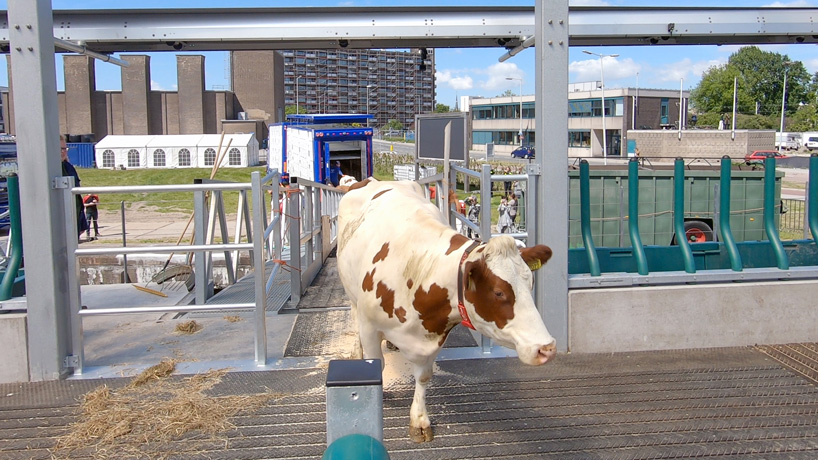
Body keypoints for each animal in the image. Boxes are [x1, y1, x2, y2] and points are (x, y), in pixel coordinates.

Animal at [337, 179, 557, 443]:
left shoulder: (434, 336)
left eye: (530, 283)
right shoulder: (370, 327)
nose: (547, 348)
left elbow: (423, 377)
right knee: (353, 312)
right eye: (498, 292)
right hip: (350, 291)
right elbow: (375, 367)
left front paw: (419, 420)